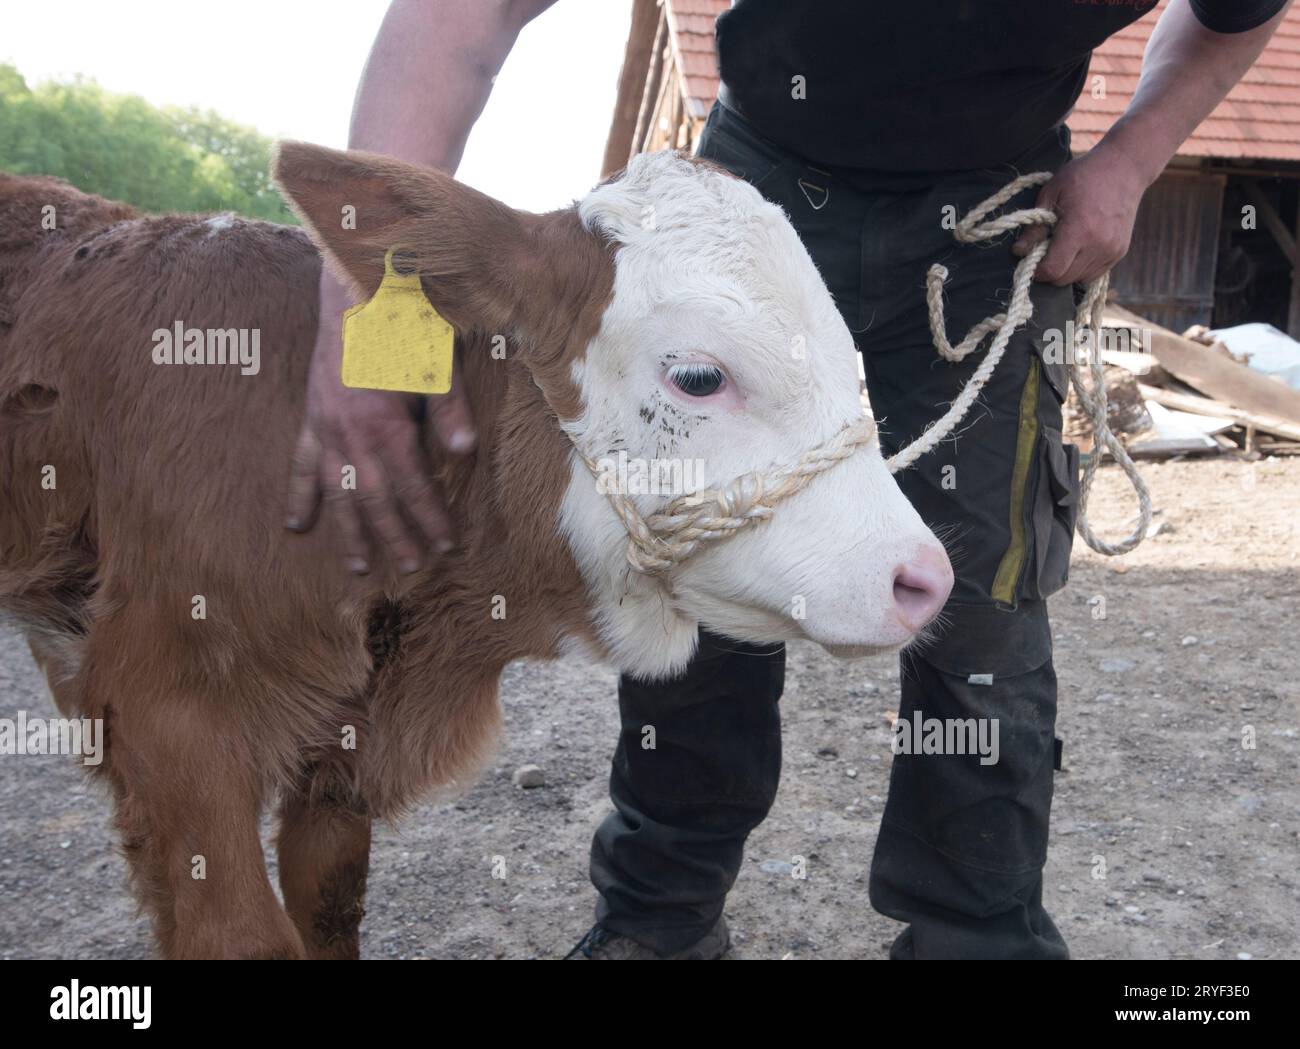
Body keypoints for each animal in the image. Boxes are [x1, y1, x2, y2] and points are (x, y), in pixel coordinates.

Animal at [0, 144, 951, 958]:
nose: (925, 578)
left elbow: (330, 904)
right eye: (697, 376)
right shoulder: (172, 716)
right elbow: (244, 934)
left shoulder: (346, 751)